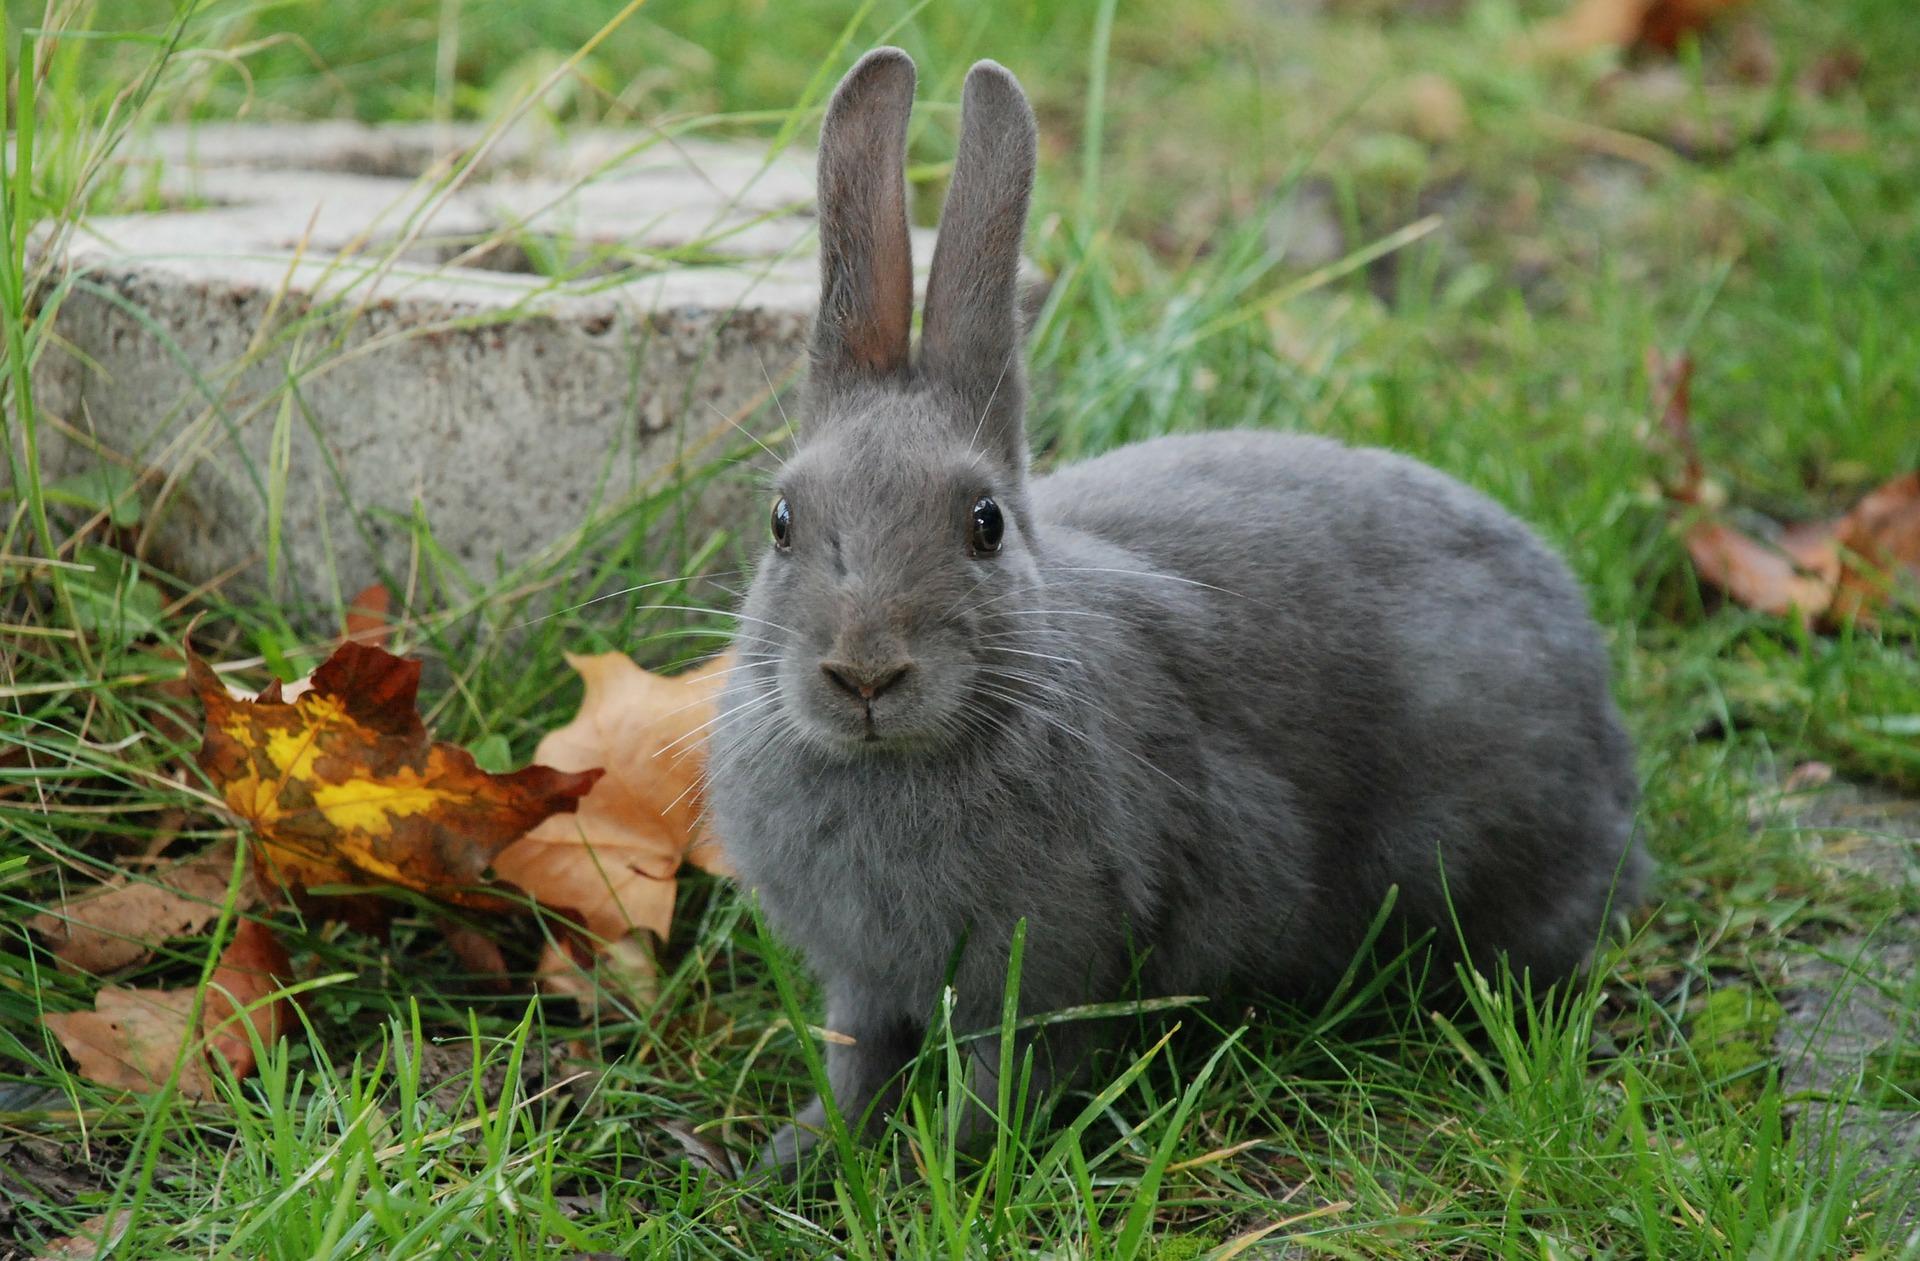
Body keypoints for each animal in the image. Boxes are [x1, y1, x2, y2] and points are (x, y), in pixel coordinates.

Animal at [704, 48, 1645, 1174]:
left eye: (985, 524)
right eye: (781, 520)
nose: (864, 672)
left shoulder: (1048, 970)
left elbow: (1000, 1084)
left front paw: (952, 1166)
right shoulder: (864, 979)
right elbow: (856, 1066)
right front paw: (796, 1158)